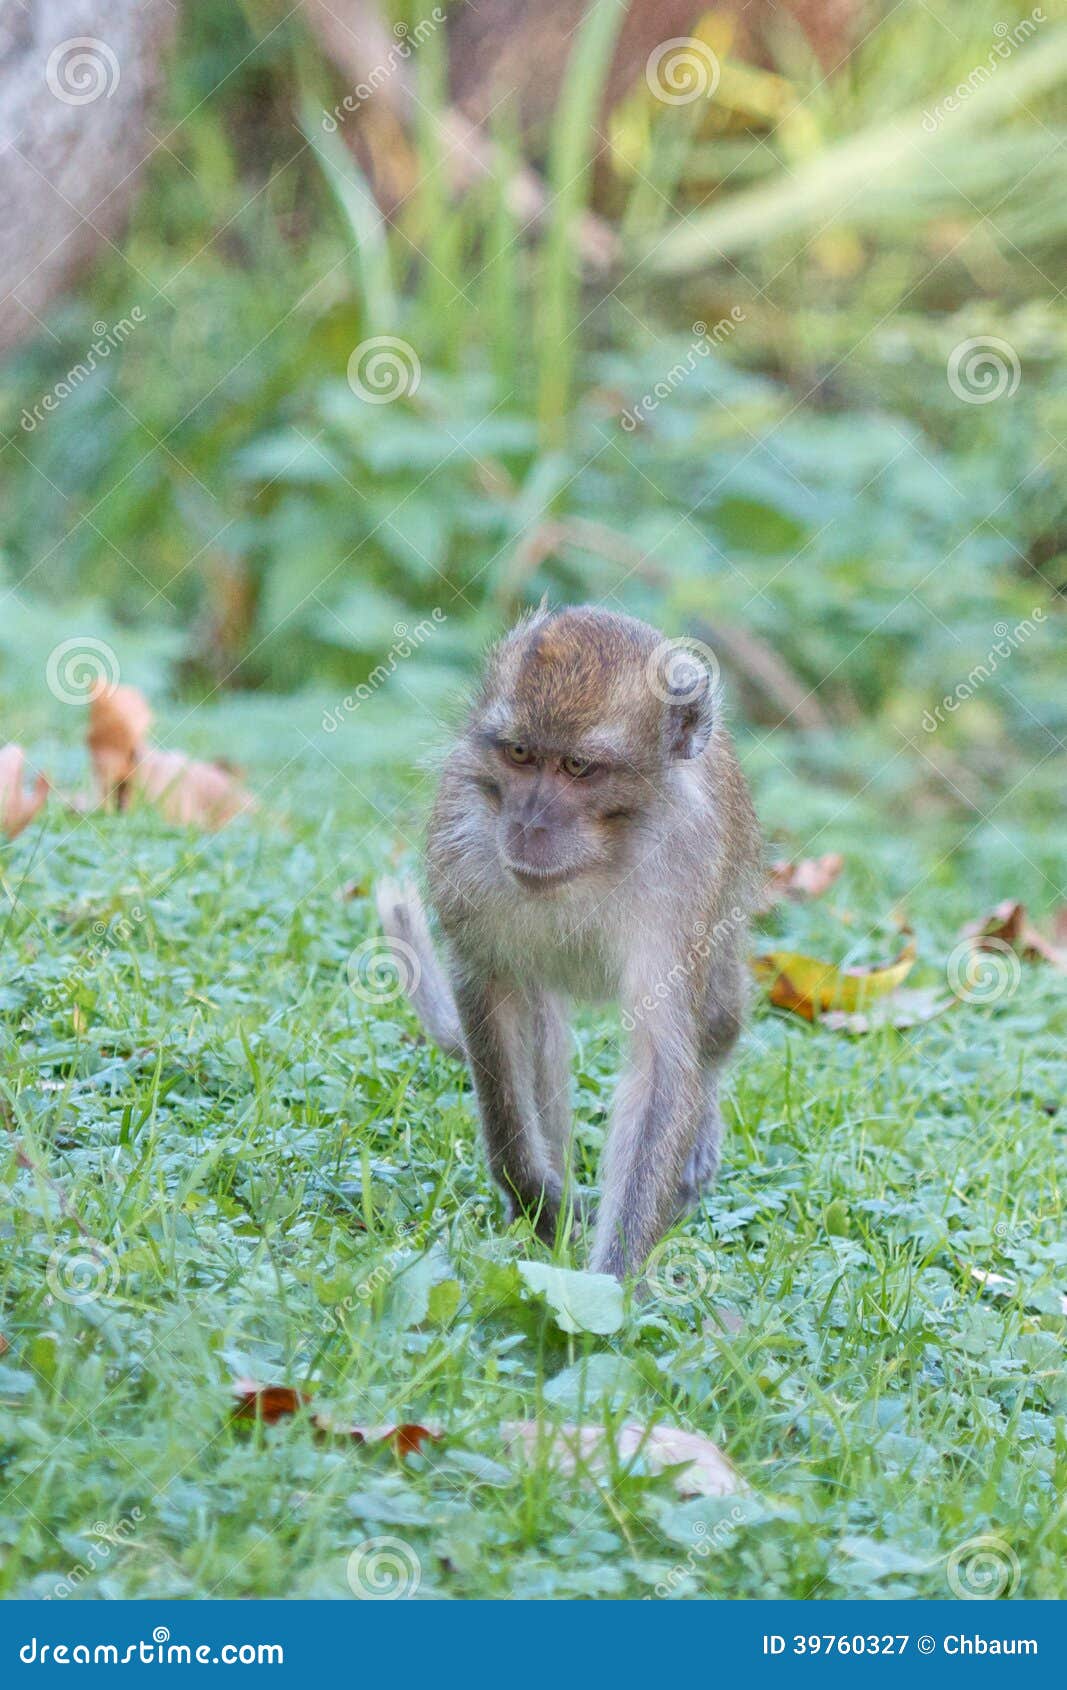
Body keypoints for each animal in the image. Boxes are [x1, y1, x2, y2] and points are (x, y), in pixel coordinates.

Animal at [376, 604, 762, 1281]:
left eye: (578, 767)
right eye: (521, 754)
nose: (529, 825)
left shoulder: (686, 878)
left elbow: (664, 1060)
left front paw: (613, 1281)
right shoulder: (464, 841)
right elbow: (493, 997)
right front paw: (535, 1197)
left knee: (715, 1022)